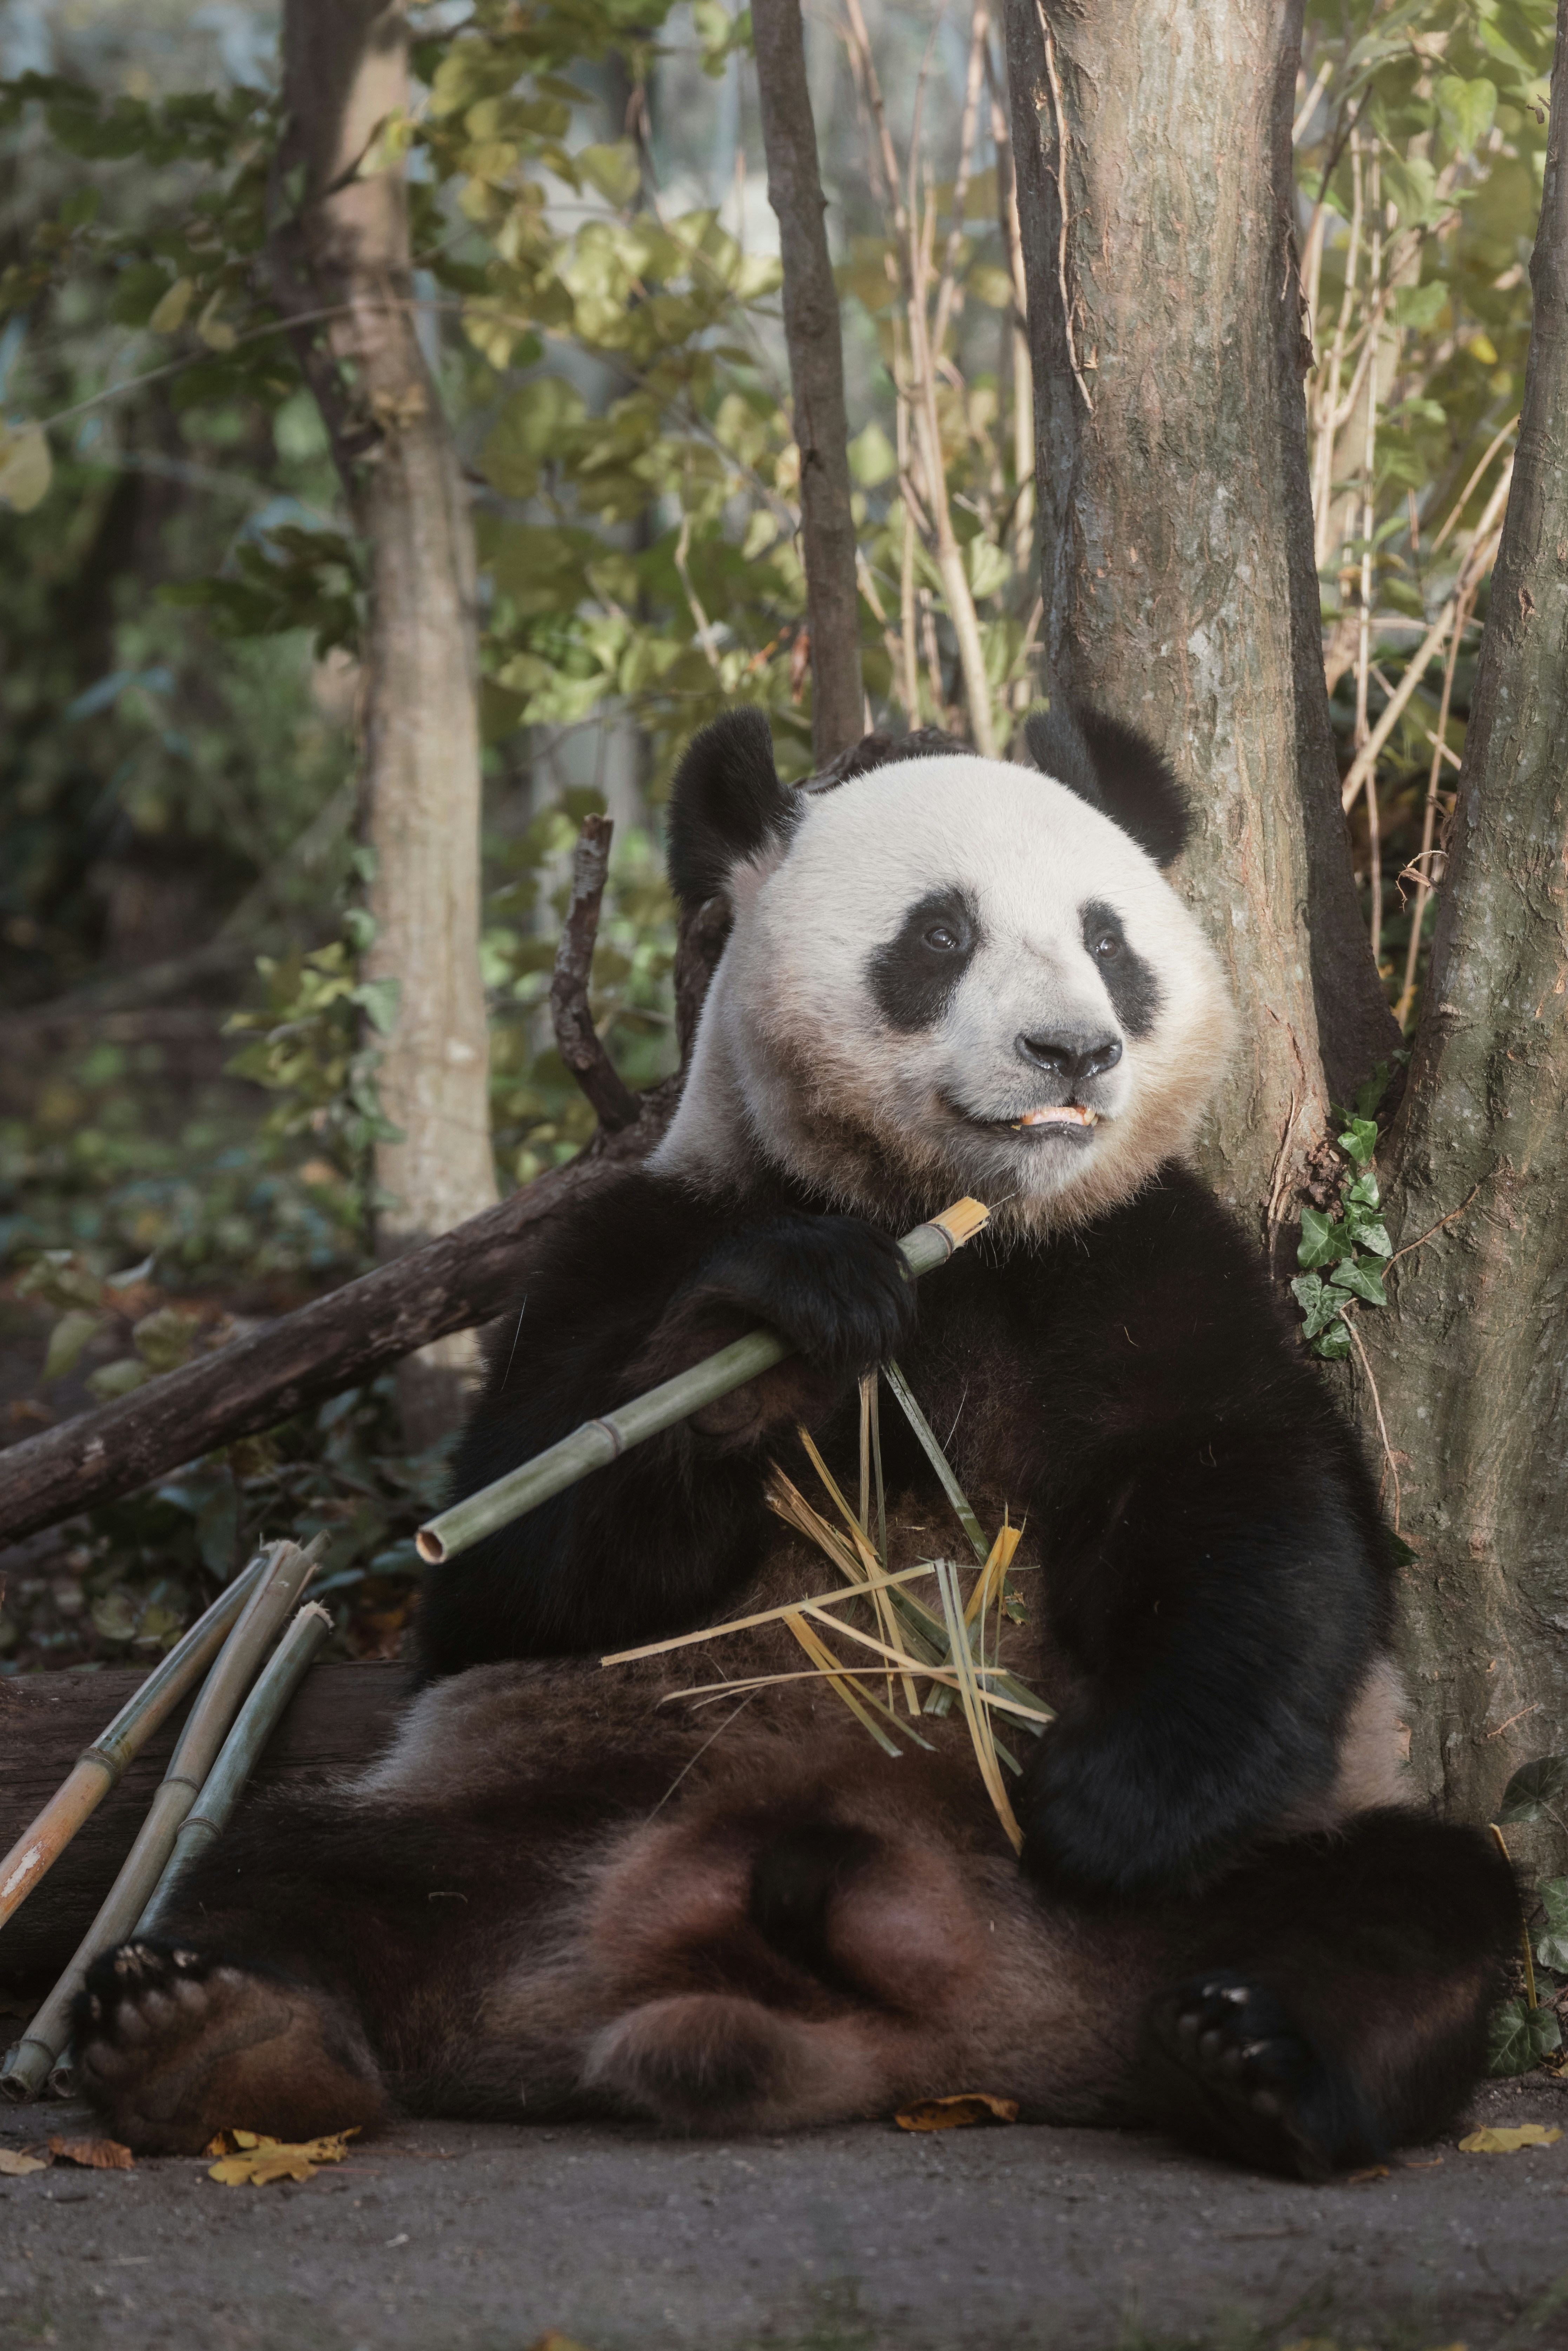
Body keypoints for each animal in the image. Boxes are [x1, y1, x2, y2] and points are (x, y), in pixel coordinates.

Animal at [74, 704, 1515, 2180]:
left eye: (1110, 940)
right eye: (938, 936)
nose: (1073, 1050)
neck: (956, 1227)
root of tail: (938, 2021)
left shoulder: (1142, 1256)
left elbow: (1255, 1511)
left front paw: (1106, 1808)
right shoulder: (632, 1242)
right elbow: (511, 1563)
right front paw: (789, 1323)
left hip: (1250, 1875)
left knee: (1417, 1903)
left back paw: (1250, 2058)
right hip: (541, 1806)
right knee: (289, 1864)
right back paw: (216, 2036)